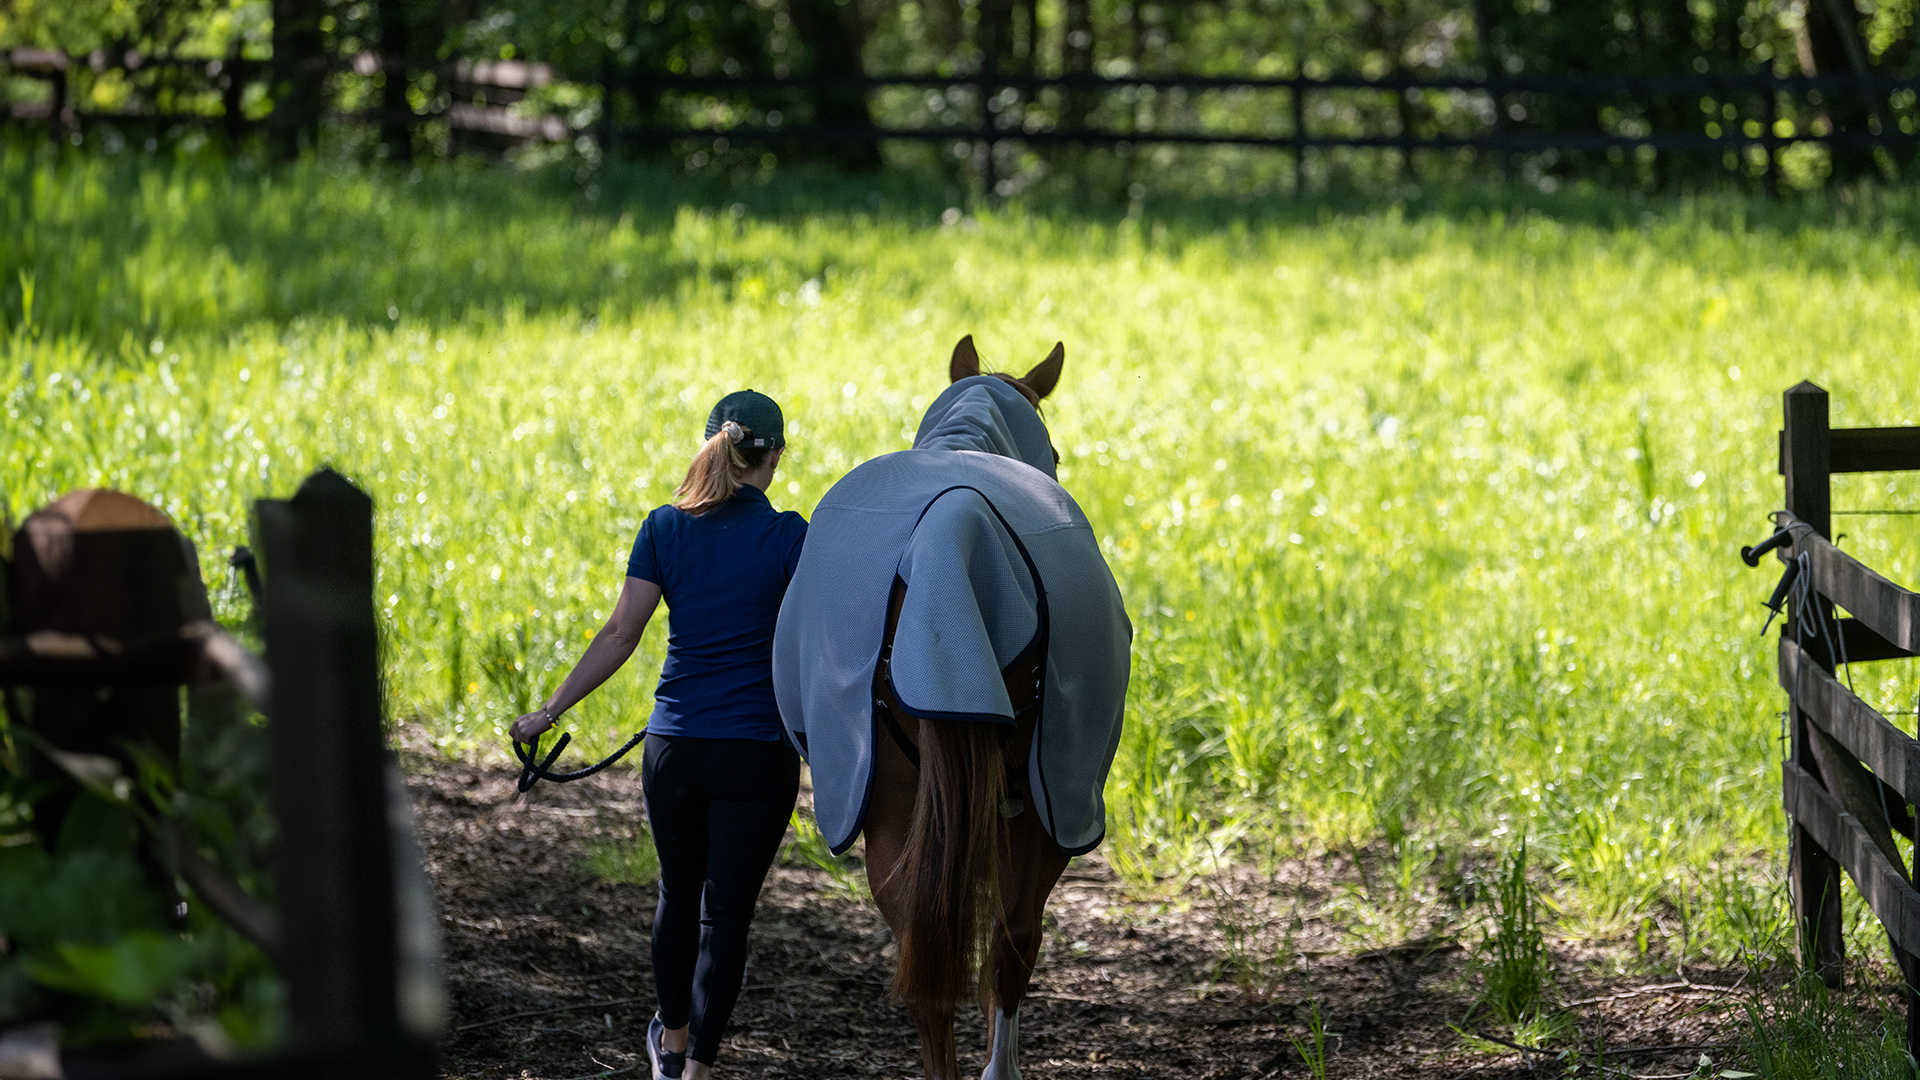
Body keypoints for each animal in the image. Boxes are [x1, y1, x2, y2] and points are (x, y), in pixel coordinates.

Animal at [773, 336, 1132, 1080]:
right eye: (1058, 453)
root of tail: (953, 530)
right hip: (1040, 807)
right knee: (1012, 943)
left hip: (895, 810)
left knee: (932, 963)